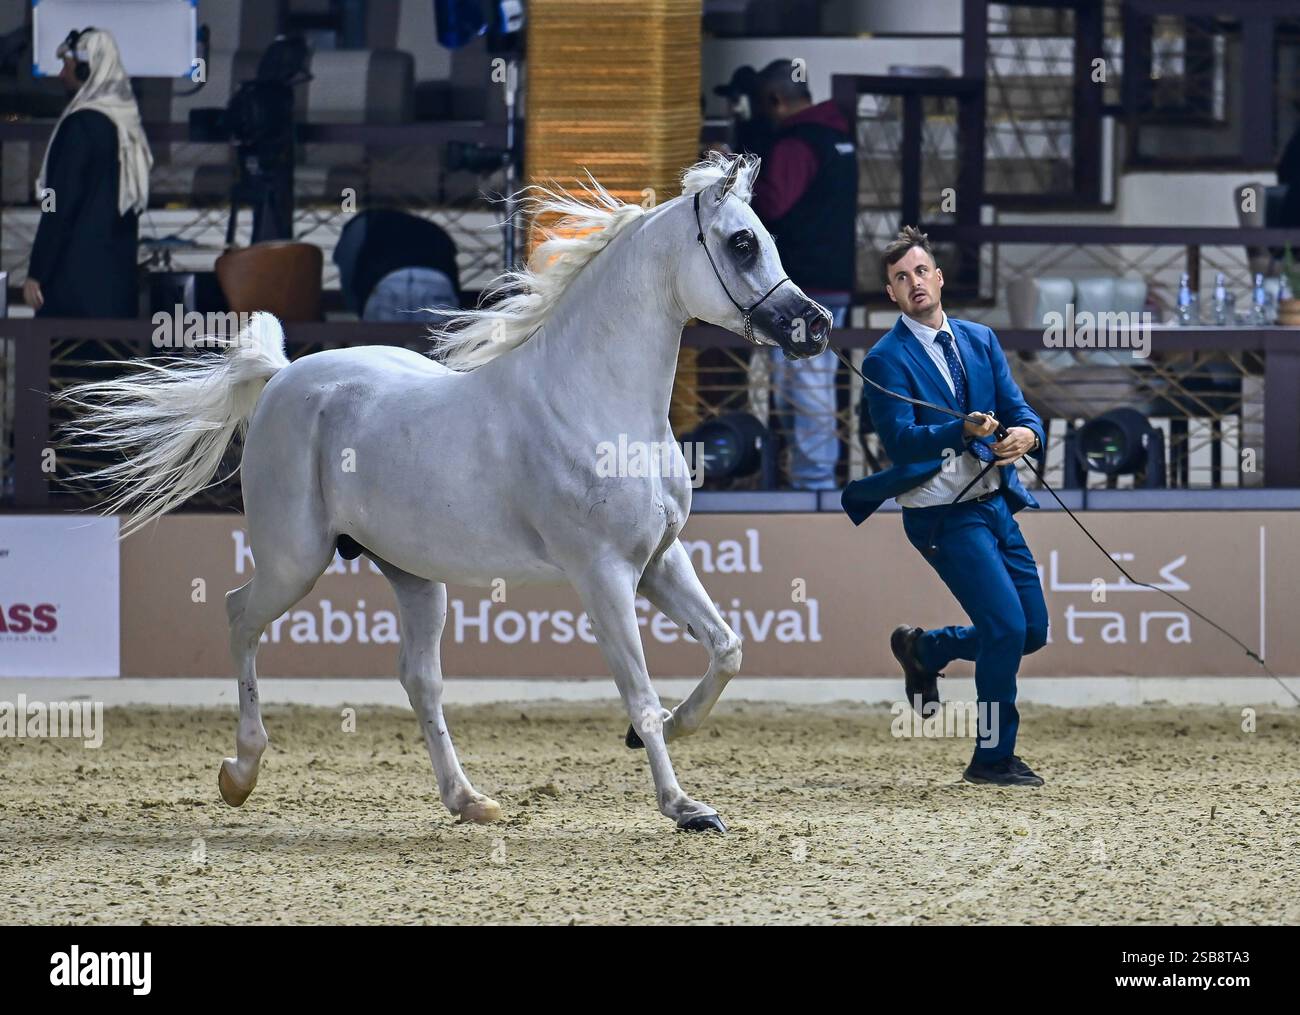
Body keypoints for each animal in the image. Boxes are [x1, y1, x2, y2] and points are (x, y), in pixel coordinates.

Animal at [59, 153, 832, 832]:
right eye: (741, 242)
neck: (592, 402)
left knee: (419, 678)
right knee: (238, 616)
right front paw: (684, 806)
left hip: (412, 576)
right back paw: (240, 773)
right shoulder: (604, 575)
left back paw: (468, 801)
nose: (815, 326)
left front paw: (674, 730)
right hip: (293, 561)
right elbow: (639, 692)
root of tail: (283, 377)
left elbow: (727, 648)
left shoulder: (658, 561)